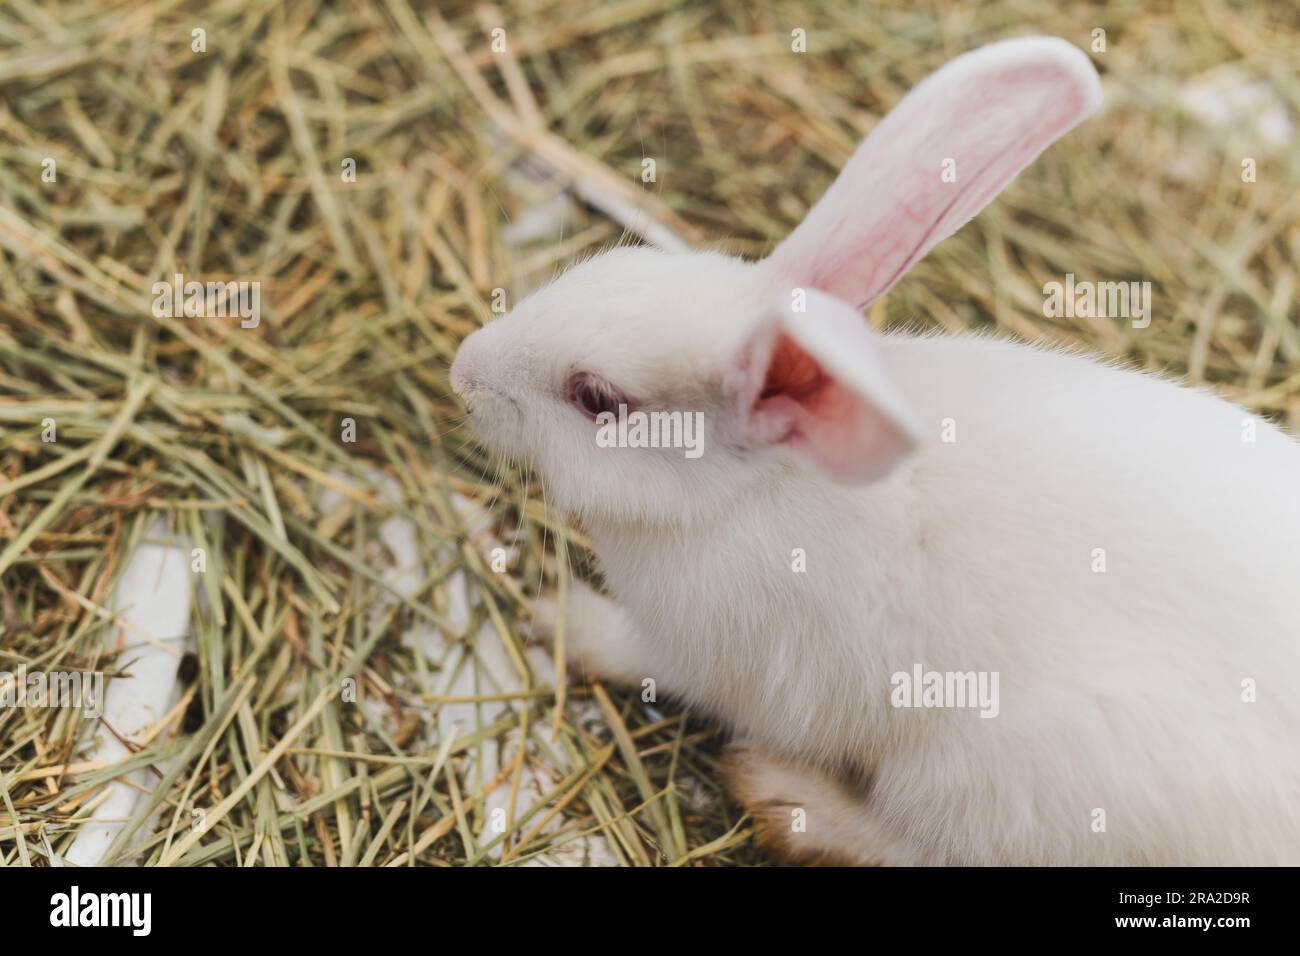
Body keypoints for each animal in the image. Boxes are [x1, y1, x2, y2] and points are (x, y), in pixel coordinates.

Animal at [450, 36, 1300, 865]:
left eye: (596, 398)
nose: (463, 370)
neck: (756, 488)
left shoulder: (706, 654)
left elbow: (636, 654)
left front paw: (558, 617)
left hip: (997, 780)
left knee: (909, 846)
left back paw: (785, 800)